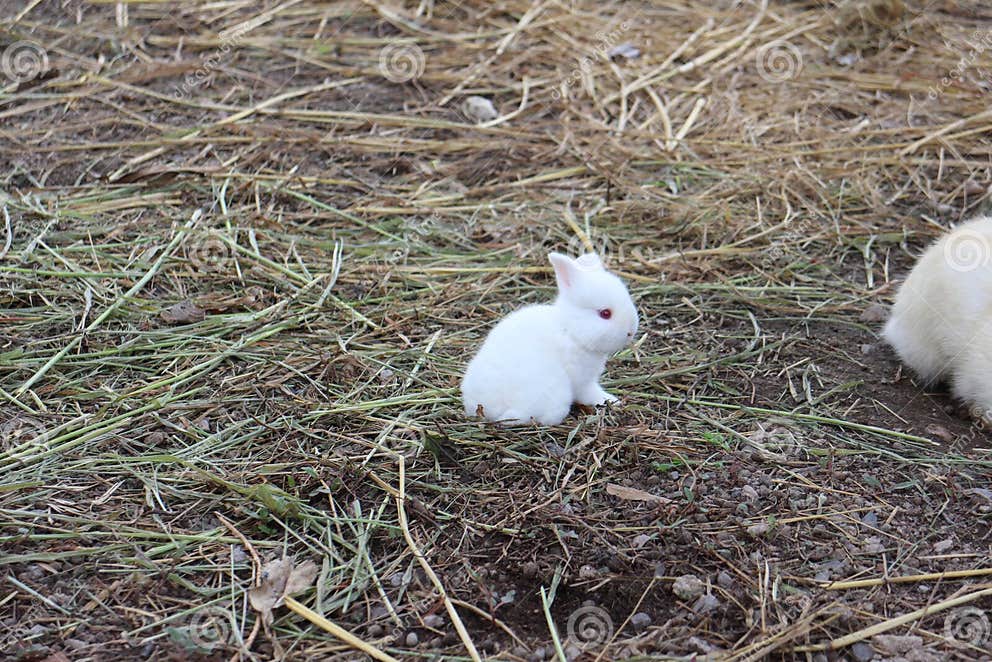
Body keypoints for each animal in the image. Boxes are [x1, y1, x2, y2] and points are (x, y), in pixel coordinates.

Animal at [461, 252, 638, 426]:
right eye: (605, 313)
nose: (631, 331)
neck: (570, 330)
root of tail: (486, 407)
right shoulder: (582, 382)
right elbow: (589, 393)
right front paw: (610, 400)